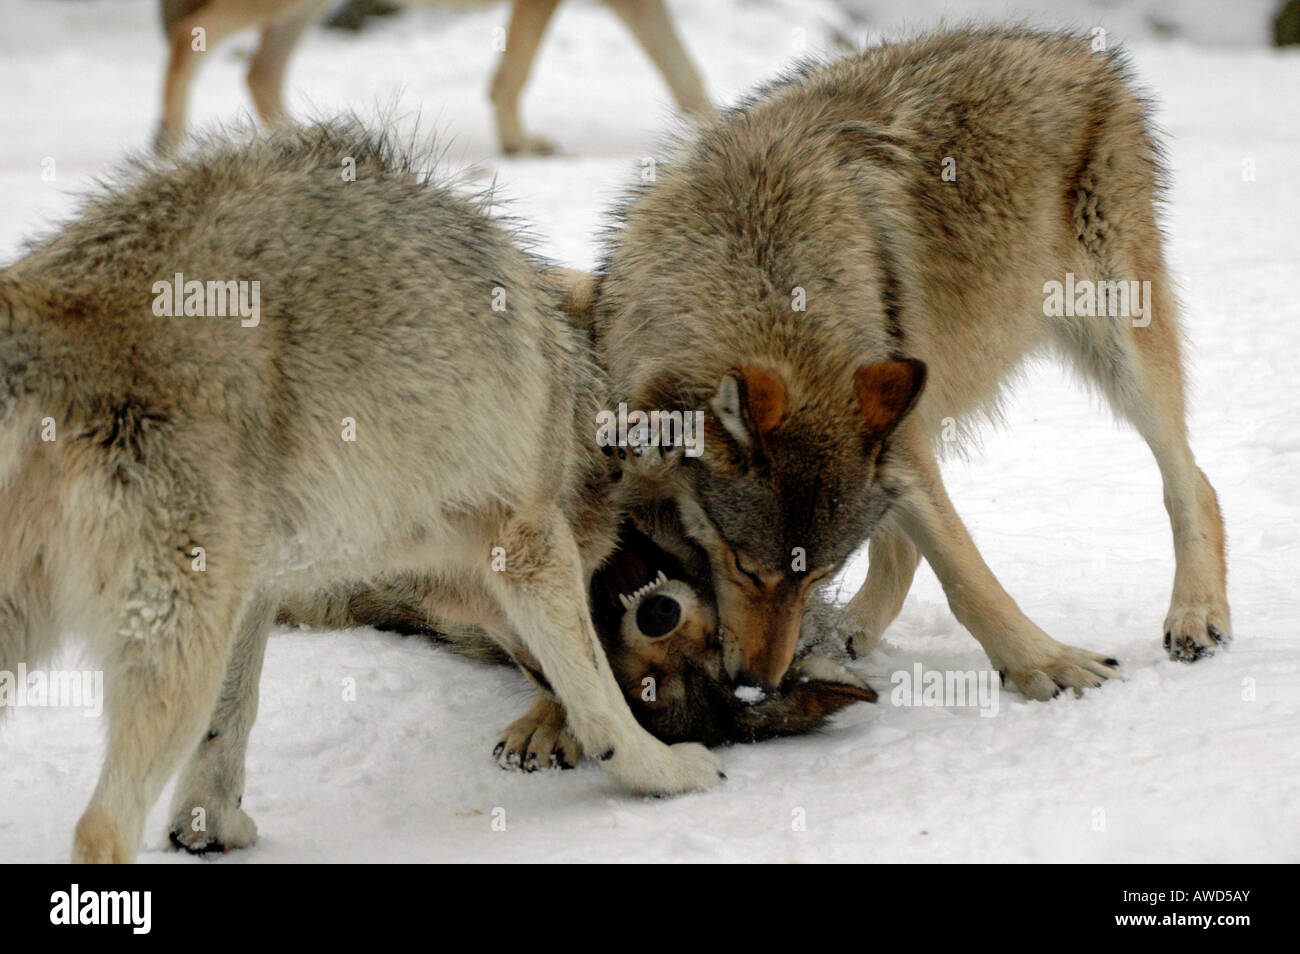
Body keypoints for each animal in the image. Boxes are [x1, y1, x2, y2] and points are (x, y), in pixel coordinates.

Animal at [0, 120, 723, 863]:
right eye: (601, 581)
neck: (570, 376)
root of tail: (54, 322)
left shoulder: (256, 583)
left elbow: (233, 716)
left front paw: (208, 825)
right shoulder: (526, 534)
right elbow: (597, 692)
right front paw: (662, 770)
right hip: (172, 644)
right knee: (100, 828)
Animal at [156, 0, 712, 155]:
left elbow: (689, 78)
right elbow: (514, 73)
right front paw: (518, 145)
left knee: (259, 73)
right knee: (188, 35)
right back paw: (168, 141)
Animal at [589, 27, 1230, 700]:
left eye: (818, 576)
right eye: (742, 565)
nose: (757, 684)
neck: (757, 259)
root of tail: (1078, 51)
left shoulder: (899, 442)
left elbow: (967, 572)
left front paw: (1045, 665)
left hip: (1119, 348)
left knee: (1191, 479)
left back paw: (1197, 615)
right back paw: (850, 634)